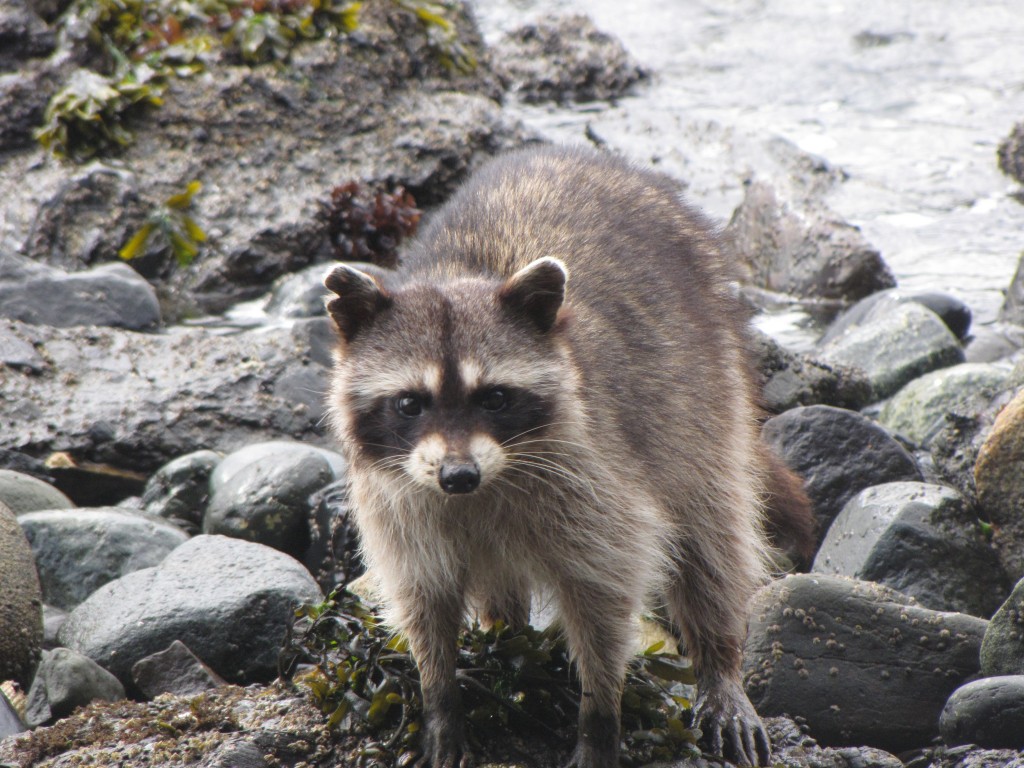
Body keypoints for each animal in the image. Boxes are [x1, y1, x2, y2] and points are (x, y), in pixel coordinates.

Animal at [323, 146, 808, 767]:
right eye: (410, 403)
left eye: (494, 398)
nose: (458, 476)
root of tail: (590, 159)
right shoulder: (401, 507)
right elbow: (423, 601)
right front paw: (441, 701)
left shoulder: (596, 480)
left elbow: (605, 596)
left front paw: (599, 718)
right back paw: (504, 636)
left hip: (706, 384)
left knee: (711, 528)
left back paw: (718, 660)